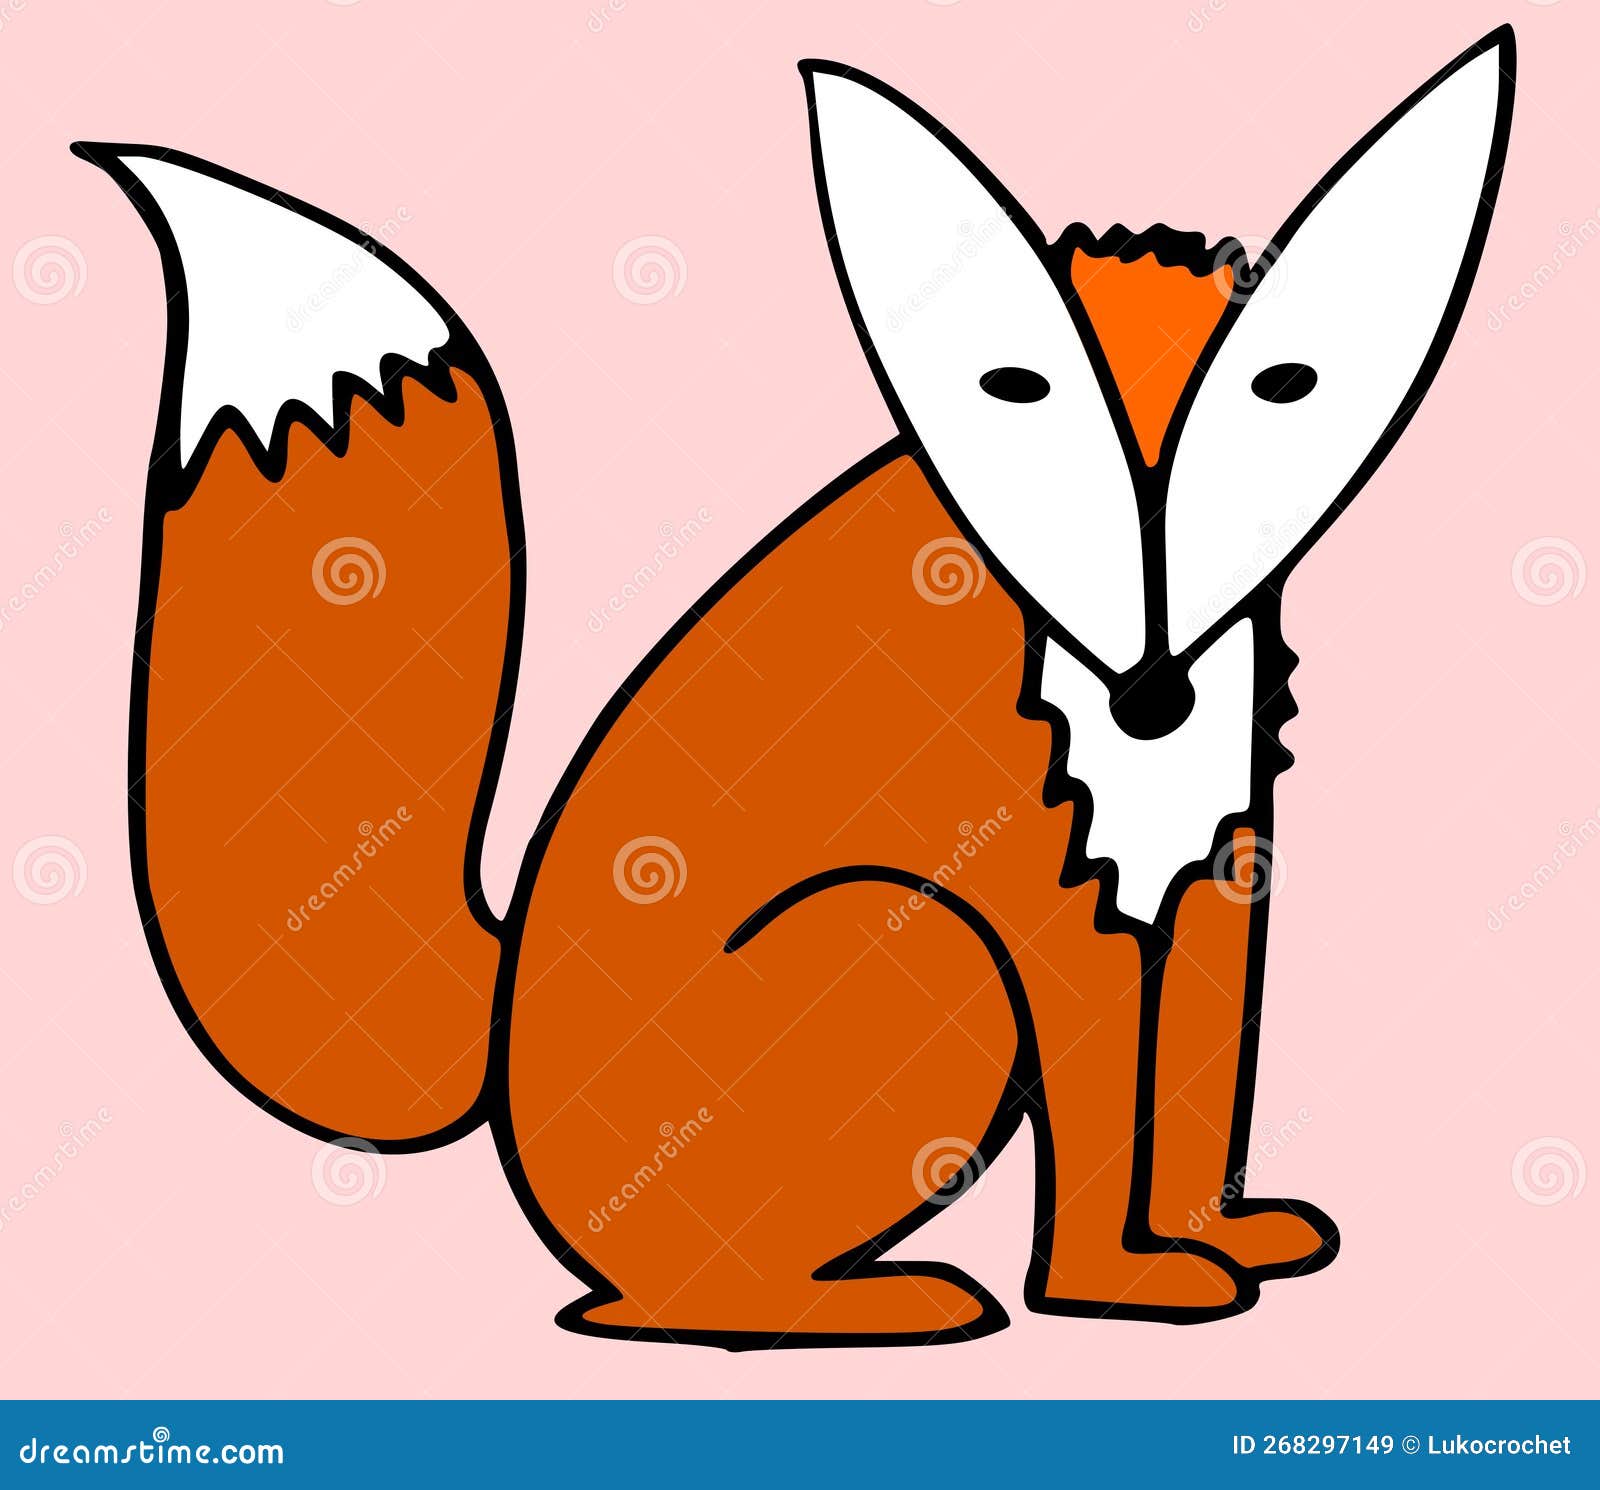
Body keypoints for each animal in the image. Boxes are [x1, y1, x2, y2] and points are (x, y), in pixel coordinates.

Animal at [78, 29, 1513, 1349]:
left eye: (1288, 392)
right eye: (1018, 401)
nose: (1150, 673)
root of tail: (499, 1029)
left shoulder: (1217, 867)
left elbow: (1205, 1086)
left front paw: (1215, 1232)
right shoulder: (1057, 902)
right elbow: (1110, 1118)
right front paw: (1116, 1285)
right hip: (922, 949)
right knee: (668, 1294)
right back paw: (861, 1306)